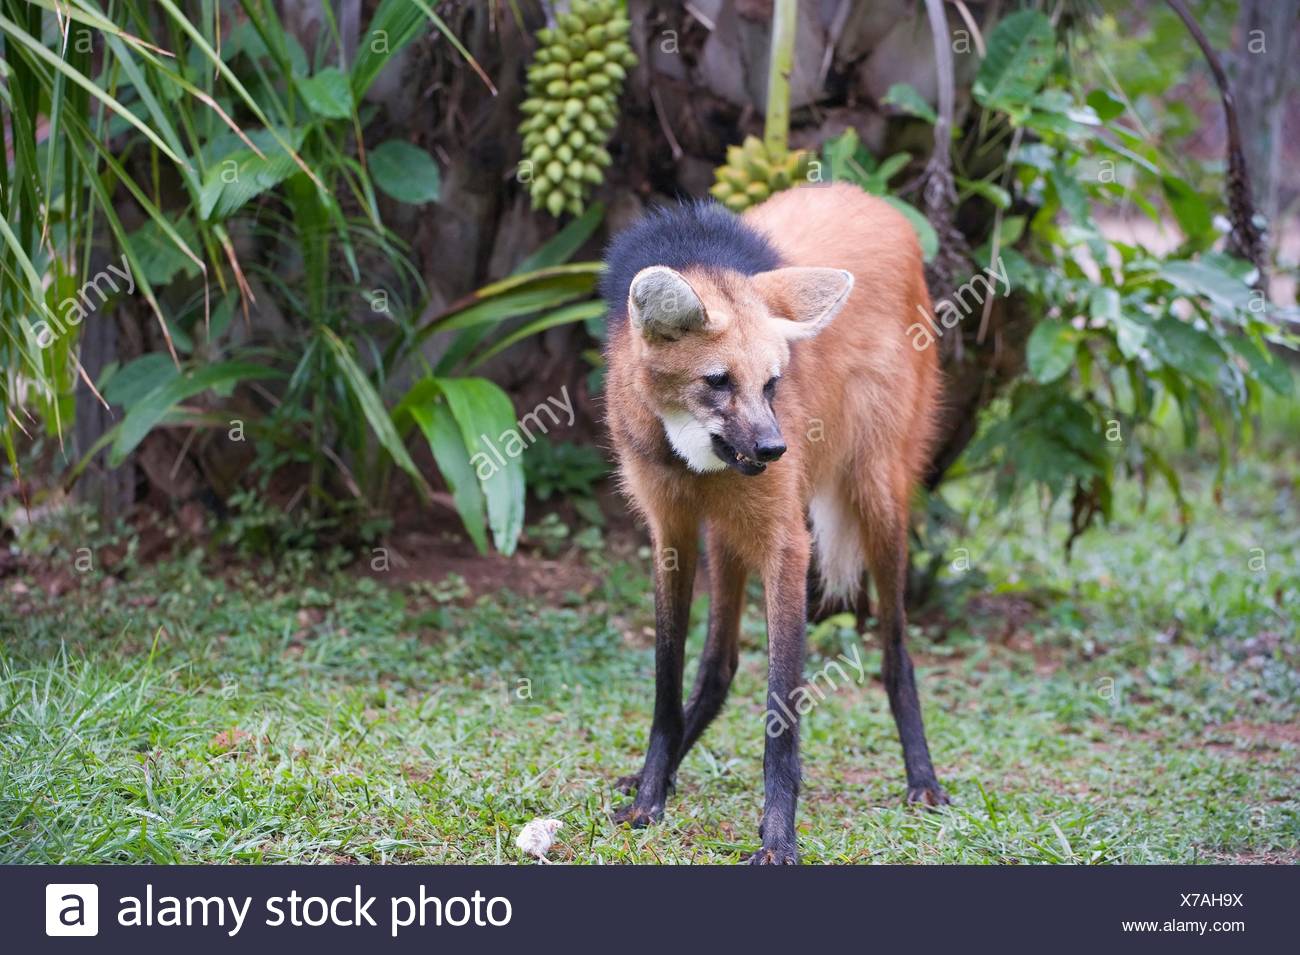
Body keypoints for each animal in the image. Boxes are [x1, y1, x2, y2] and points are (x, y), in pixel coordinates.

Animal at [601, 182, 946, 864]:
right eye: (717, 381)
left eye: (772, 383)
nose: (773, 448)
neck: (694, 456)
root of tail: (878, 203)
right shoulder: (671, 529)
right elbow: (667, 676)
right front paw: (650, 795)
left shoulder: (787, 541)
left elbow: (782, 707)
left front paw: (778, 837)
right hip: (725, 531)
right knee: (720, 662)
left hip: (875, 493)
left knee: (896, 645)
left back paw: (922, 778)